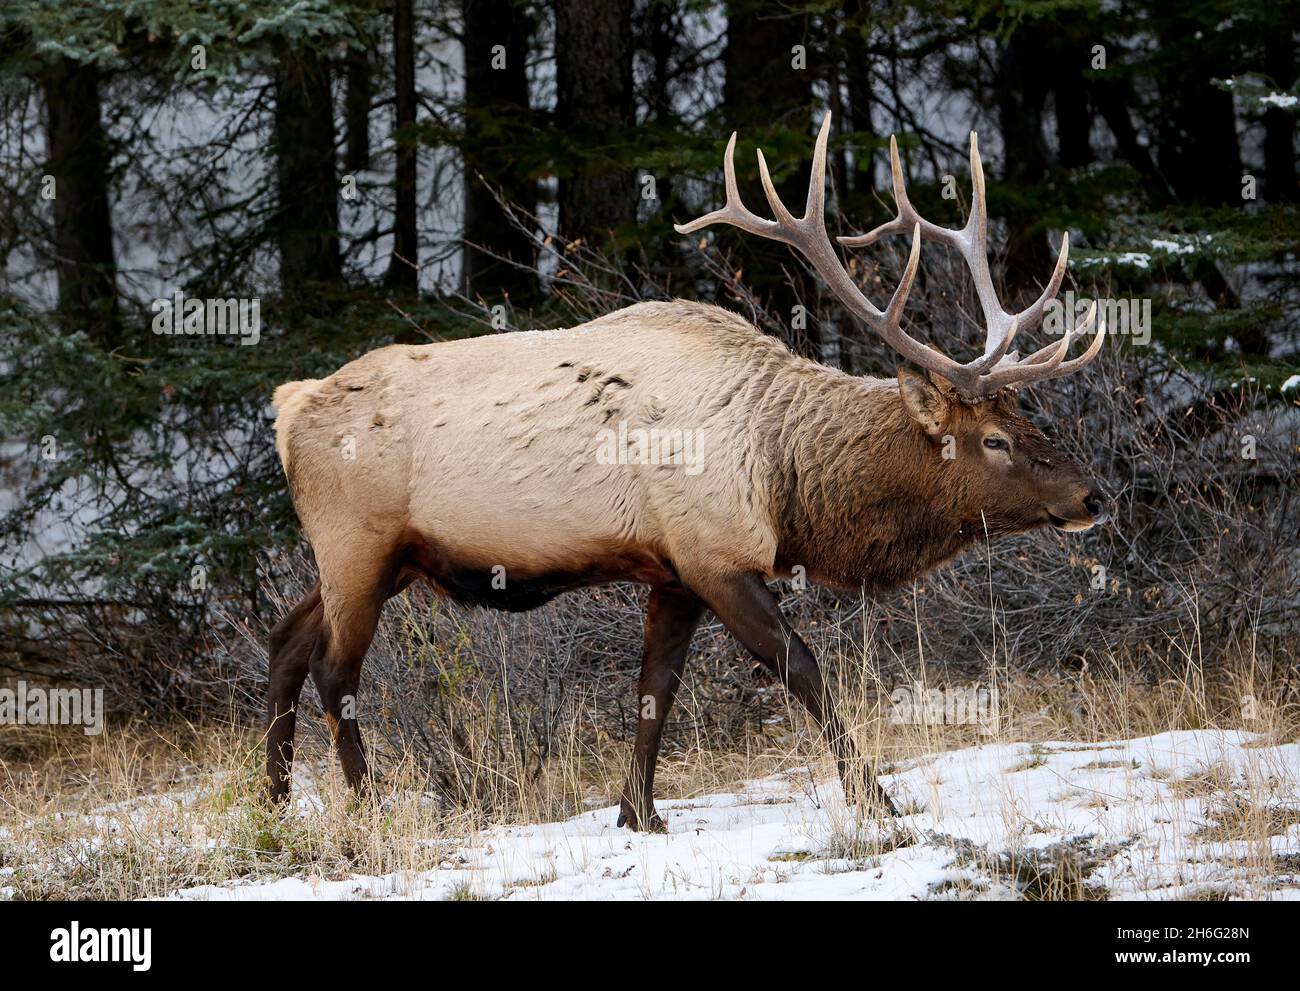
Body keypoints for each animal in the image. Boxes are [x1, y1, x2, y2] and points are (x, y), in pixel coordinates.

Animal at [265, 113, 1108, 830]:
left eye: (1027, 422)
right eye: (995, 439)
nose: (1092, 494)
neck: (787, 478)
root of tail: (288, 406)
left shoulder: (671, 571)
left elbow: (655, 691)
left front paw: (639, 813)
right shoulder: (714, 553)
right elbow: (803, 669)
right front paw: (879, 801)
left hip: (379, 557)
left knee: (286, 637)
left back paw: (274, 799)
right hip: (359, 542)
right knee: (335, 670)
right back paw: (369, 805)